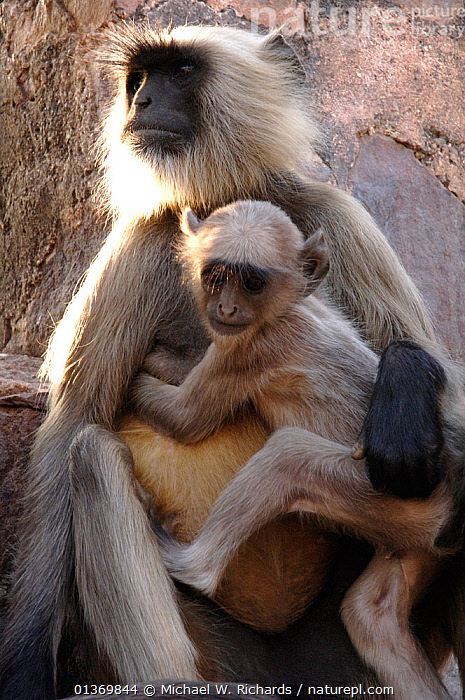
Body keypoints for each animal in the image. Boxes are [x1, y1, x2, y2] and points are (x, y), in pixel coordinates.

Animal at [131, 199, 464, 700]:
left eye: (251, 282)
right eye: (216, 277)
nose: (225, 306)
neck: (290, 308)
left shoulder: (251, 348)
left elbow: (184, 421)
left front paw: (142, 373)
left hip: (397, 499)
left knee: (288, 455)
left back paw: (190, 566)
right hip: (417, 538)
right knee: (371, 616)